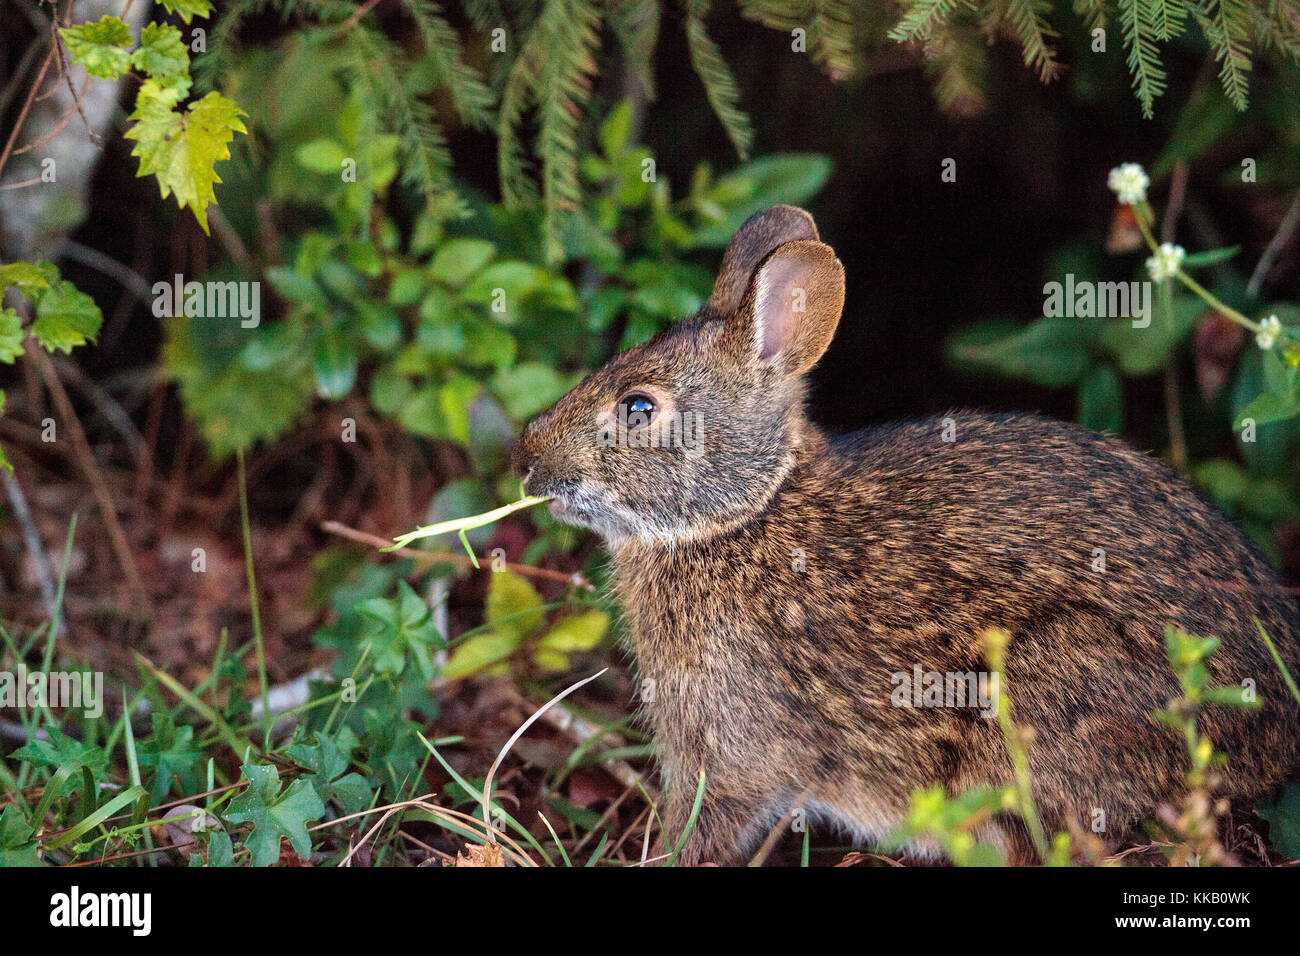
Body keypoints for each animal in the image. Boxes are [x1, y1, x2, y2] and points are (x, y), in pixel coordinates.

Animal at [509, 204, 1300, 865]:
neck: (743, 513)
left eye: (639, 408)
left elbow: (710, 819)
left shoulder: (733, 743)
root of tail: (1272, 737)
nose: (526, 457)